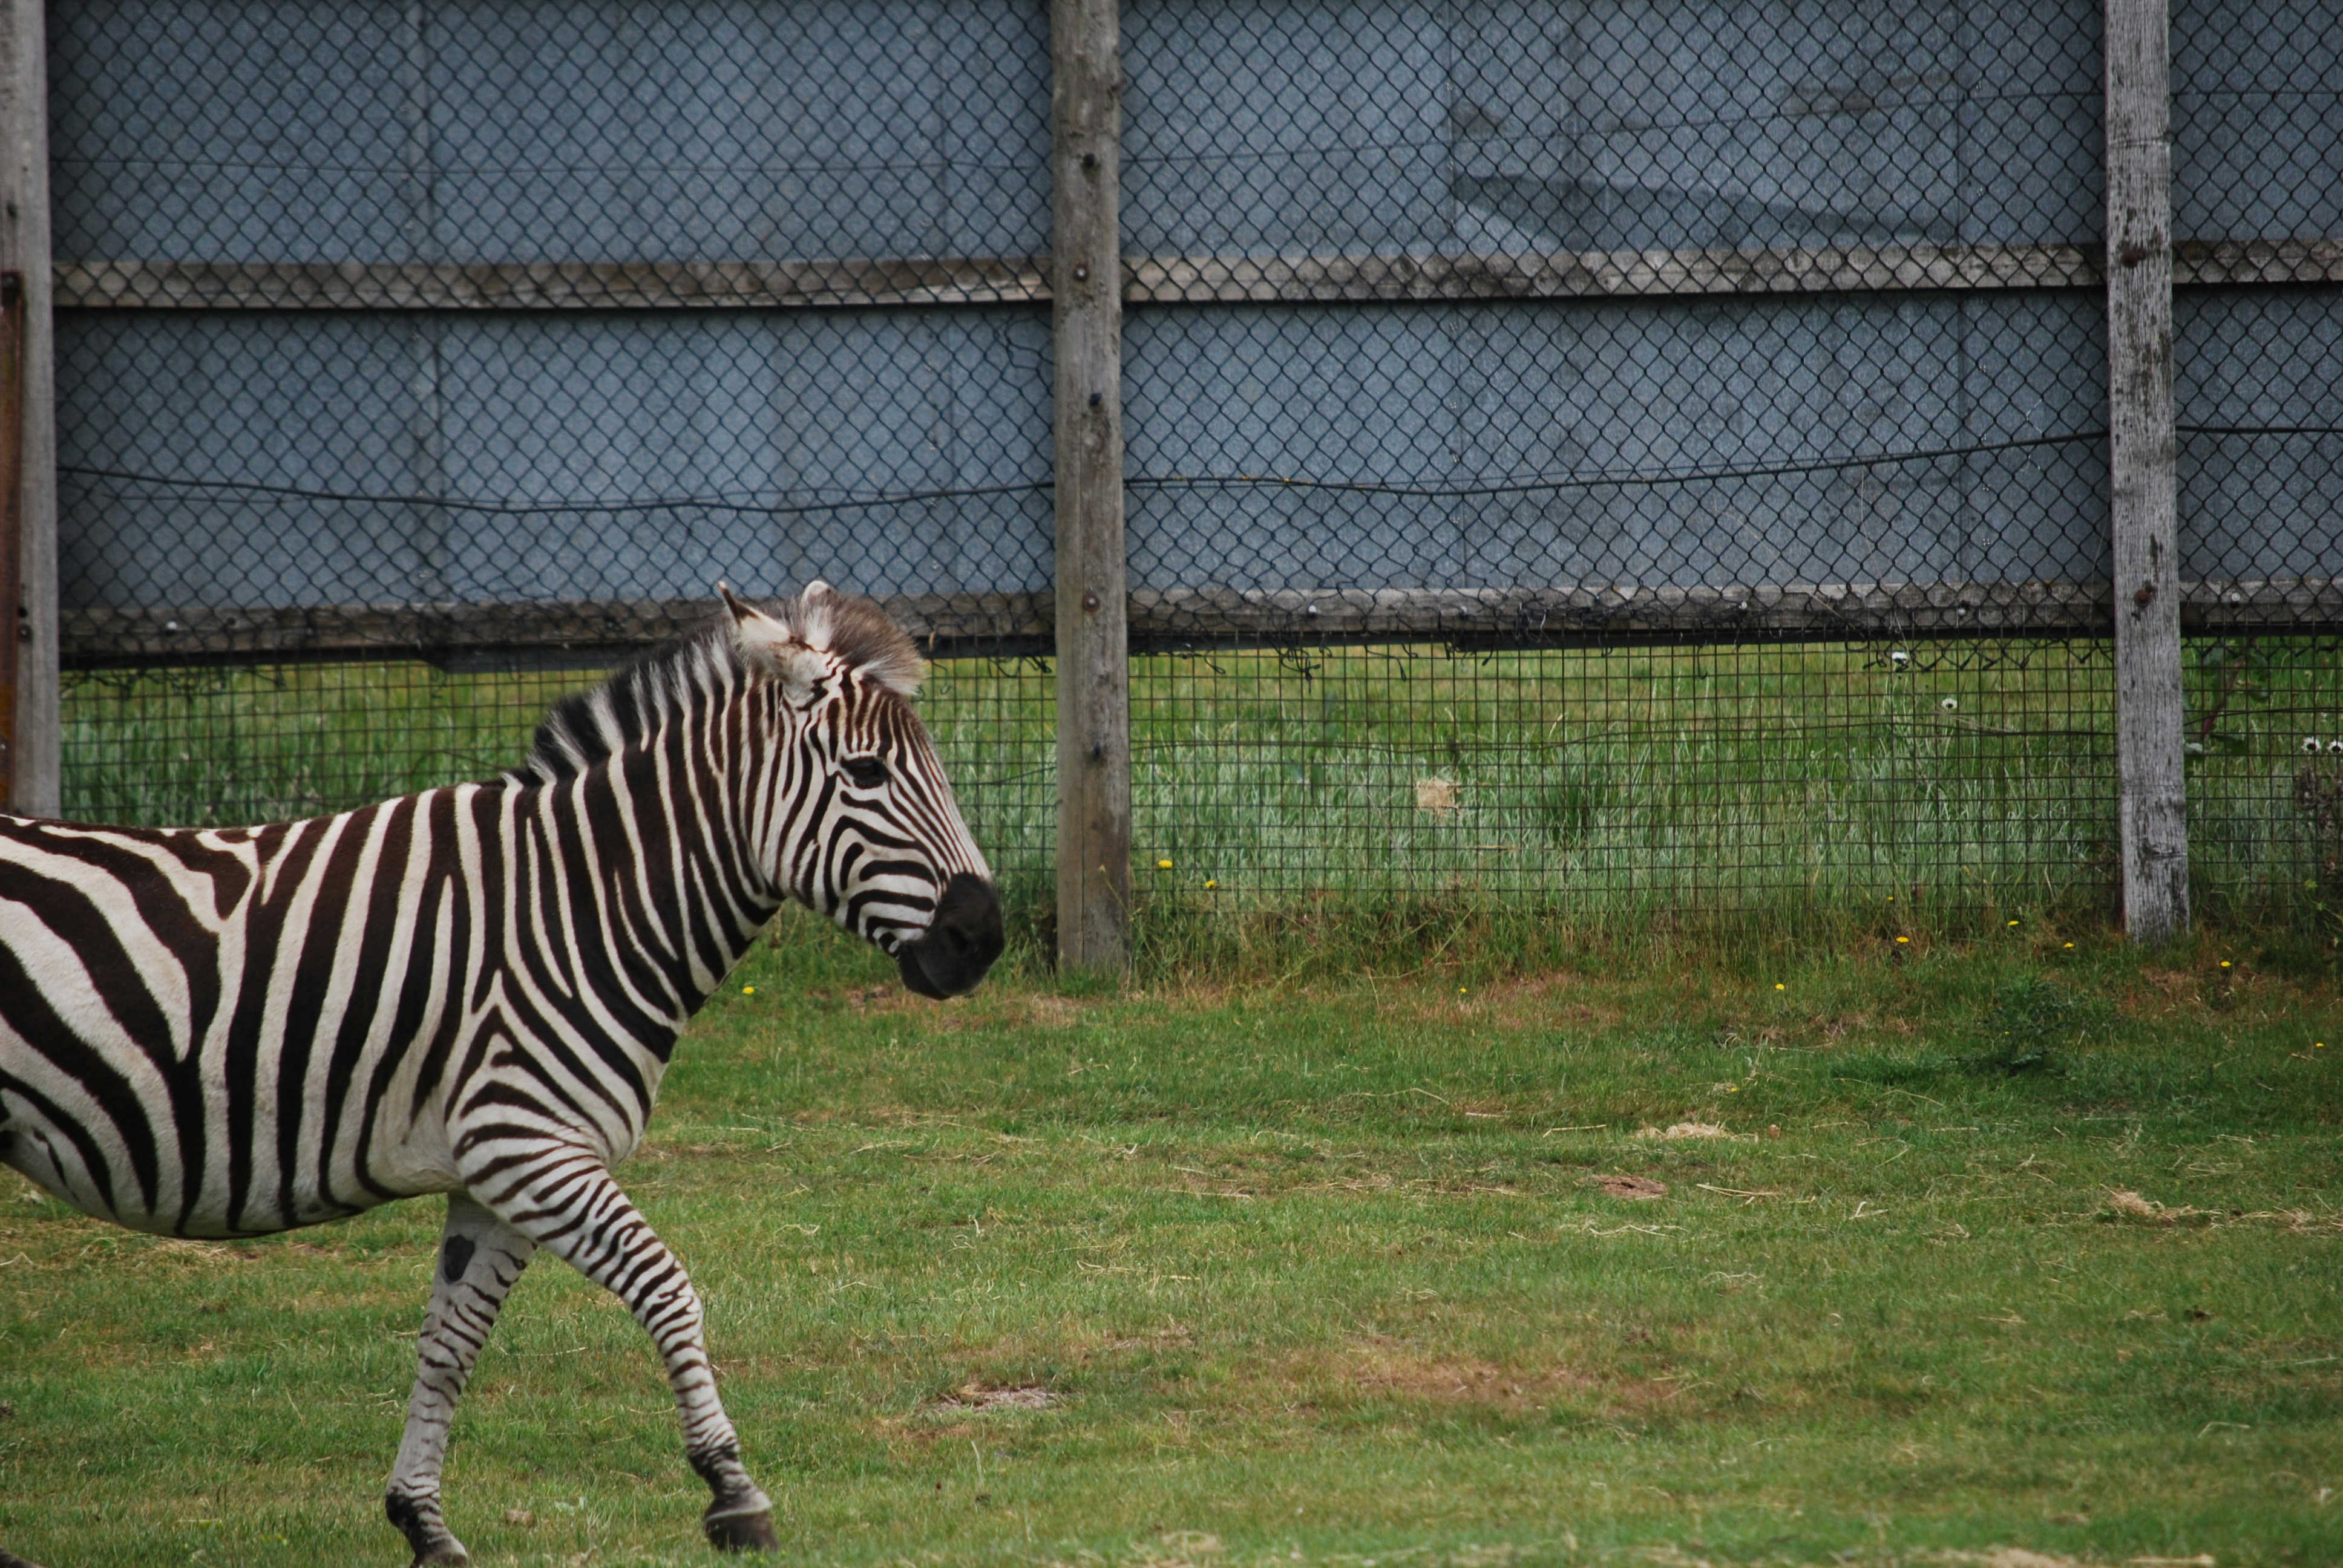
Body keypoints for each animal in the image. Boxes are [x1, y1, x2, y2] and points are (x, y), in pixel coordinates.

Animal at [0, 582, 1004, 1565]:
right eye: (867, 774)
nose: (983, 938)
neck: (578, 906)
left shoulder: (494, 1177)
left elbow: (450, 1344)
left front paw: (423, 1522)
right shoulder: (525, 1144)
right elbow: (667, 1287)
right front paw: (733, 1491)